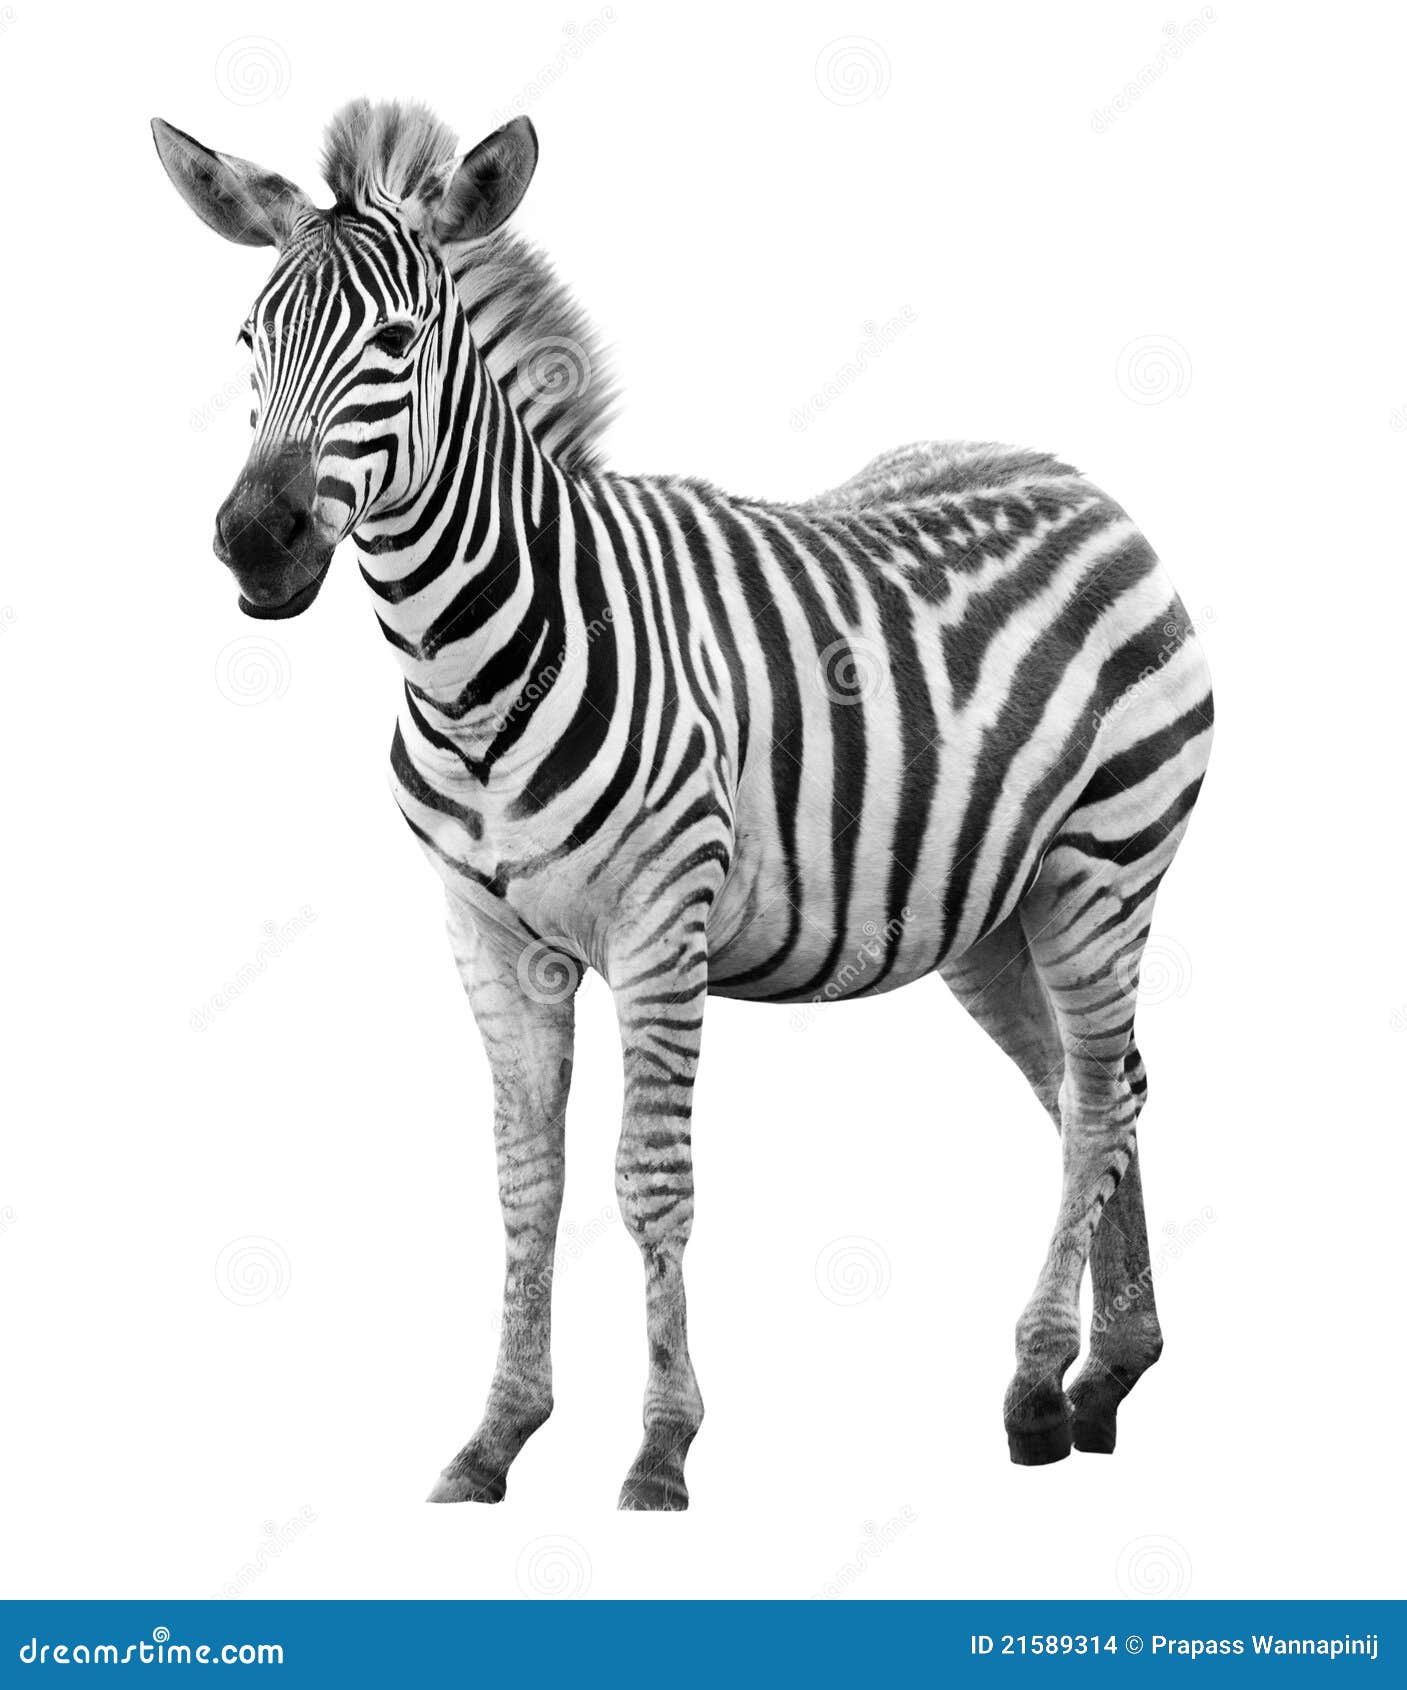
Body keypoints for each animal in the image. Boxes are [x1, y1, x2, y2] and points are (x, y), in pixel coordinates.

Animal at [153, 99, 1214, 1510]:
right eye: (247, 342)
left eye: (398, 342)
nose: (255, 541)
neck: (473, 666)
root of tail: (1083, 480)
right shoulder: (487, 938)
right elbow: (526, 1184)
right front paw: (494, 1437)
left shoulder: (662, 924)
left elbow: (648, 1184)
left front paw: (660, 1447)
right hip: (994, 911)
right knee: (1104, 1091)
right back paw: (1112, 1371)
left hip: (1108, 862)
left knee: (1097, 1099)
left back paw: (1040, 1386)